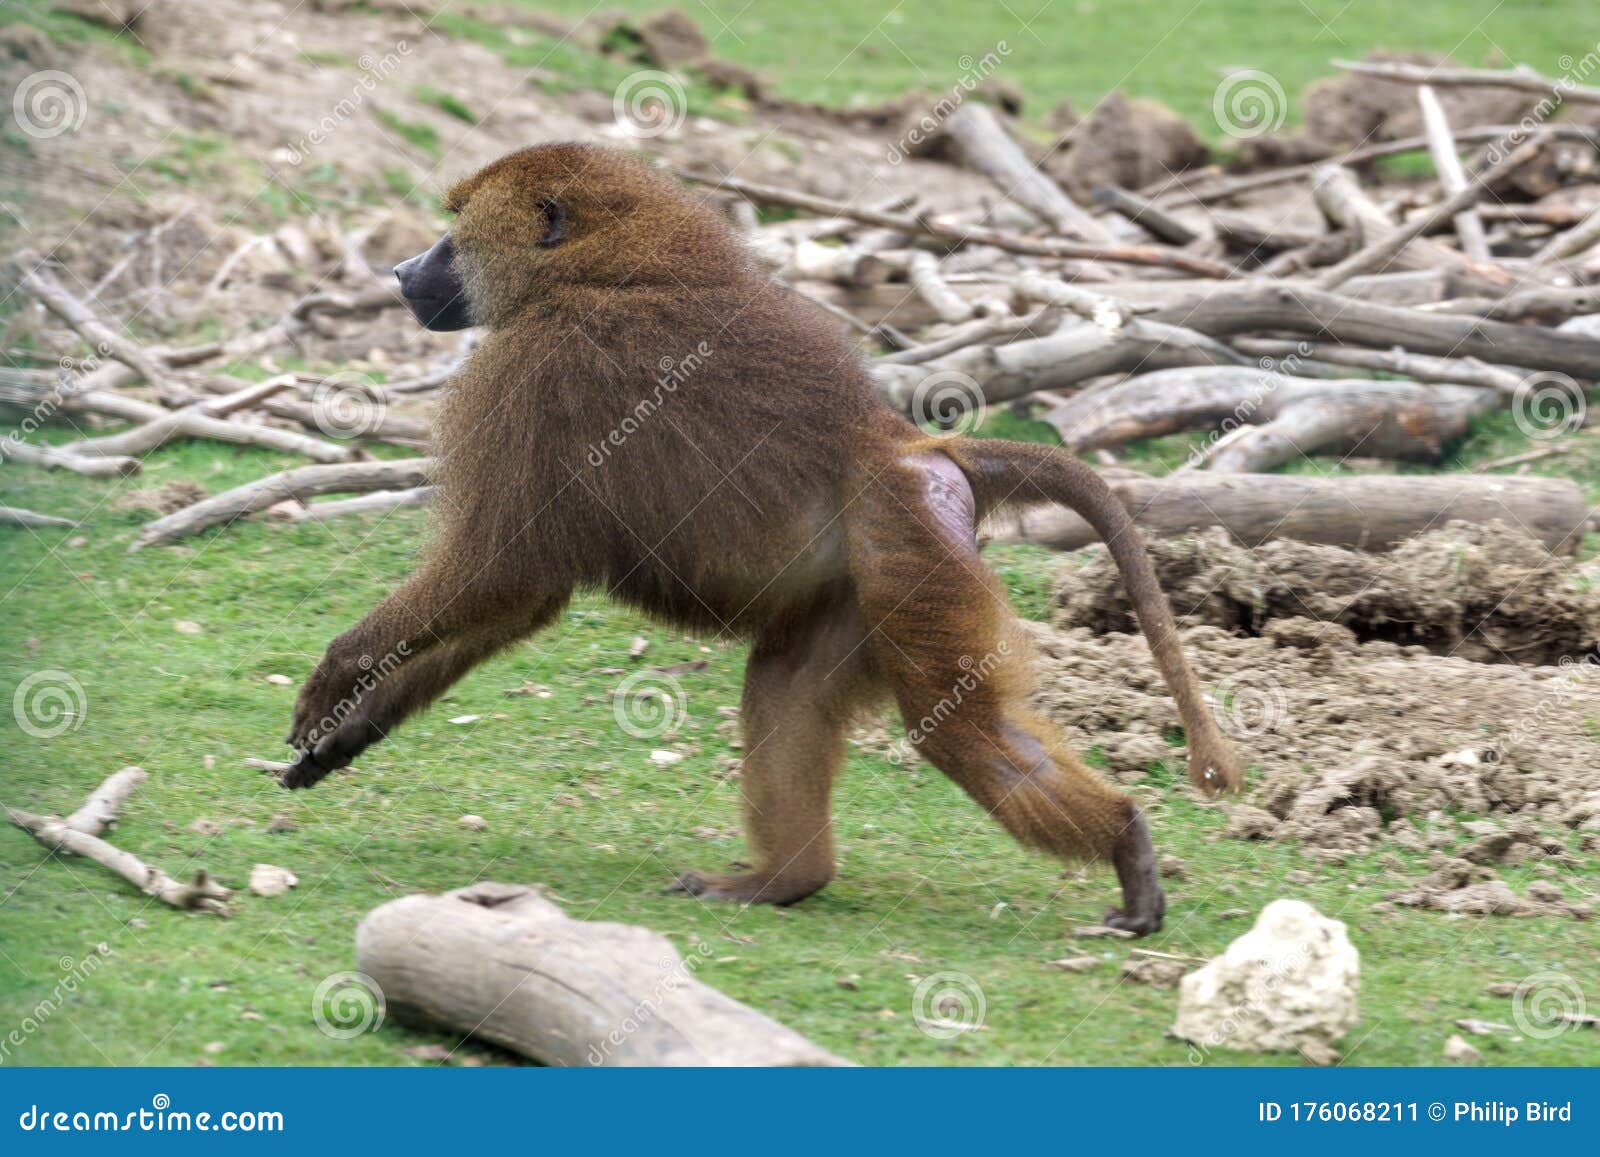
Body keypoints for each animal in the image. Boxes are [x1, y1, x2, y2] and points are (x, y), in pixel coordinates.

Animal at [283, 142, 1244, 935]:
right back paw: (786, 879)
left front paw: (334, 675)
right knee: (787, 688)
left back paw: (1125, 843)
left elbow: (498, 572)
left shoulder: (525, 375)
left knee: (956, 726)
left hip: (910, 551)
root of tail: (907, 447)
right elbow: (516, 598)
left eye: (453, 232)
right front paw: (349, 728)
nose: (402, 269)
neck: (596, 275)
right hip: (869, 583)